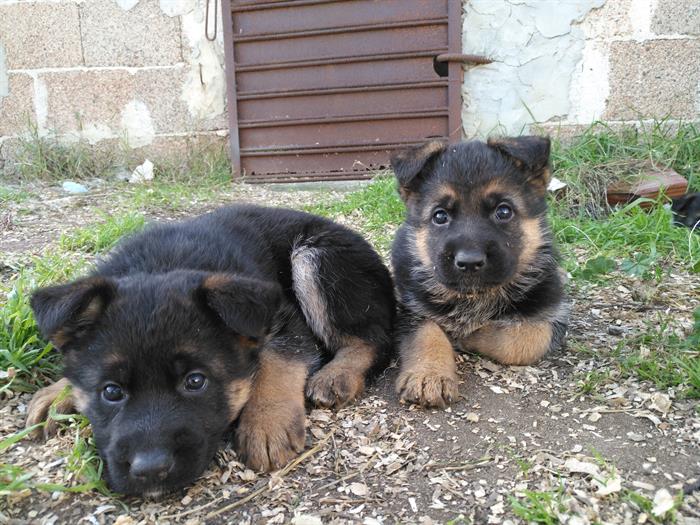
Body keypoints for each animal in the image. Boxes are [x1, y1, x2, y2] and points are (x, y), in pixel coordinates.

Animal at [26, 205, 394, 496]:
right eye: (111, 392)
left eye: (195, 382)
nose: (150, 471)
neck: (160, 267)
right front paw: (58, 394)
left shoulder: (283, 317)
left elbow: (275, 360)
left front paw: (266, 422)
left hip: (316, 256)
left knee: (372, 337)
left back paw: (338, 374)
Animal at [392, 135, 572, 406]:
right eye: (440, 216)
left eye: (504, 211)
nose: (469, 262)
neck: (474, 298)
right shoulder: (412, 309)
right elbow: (428, 333)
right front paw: (429, 375)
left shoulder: (552, 316)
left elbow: (526, 338)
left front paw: (469, 337)